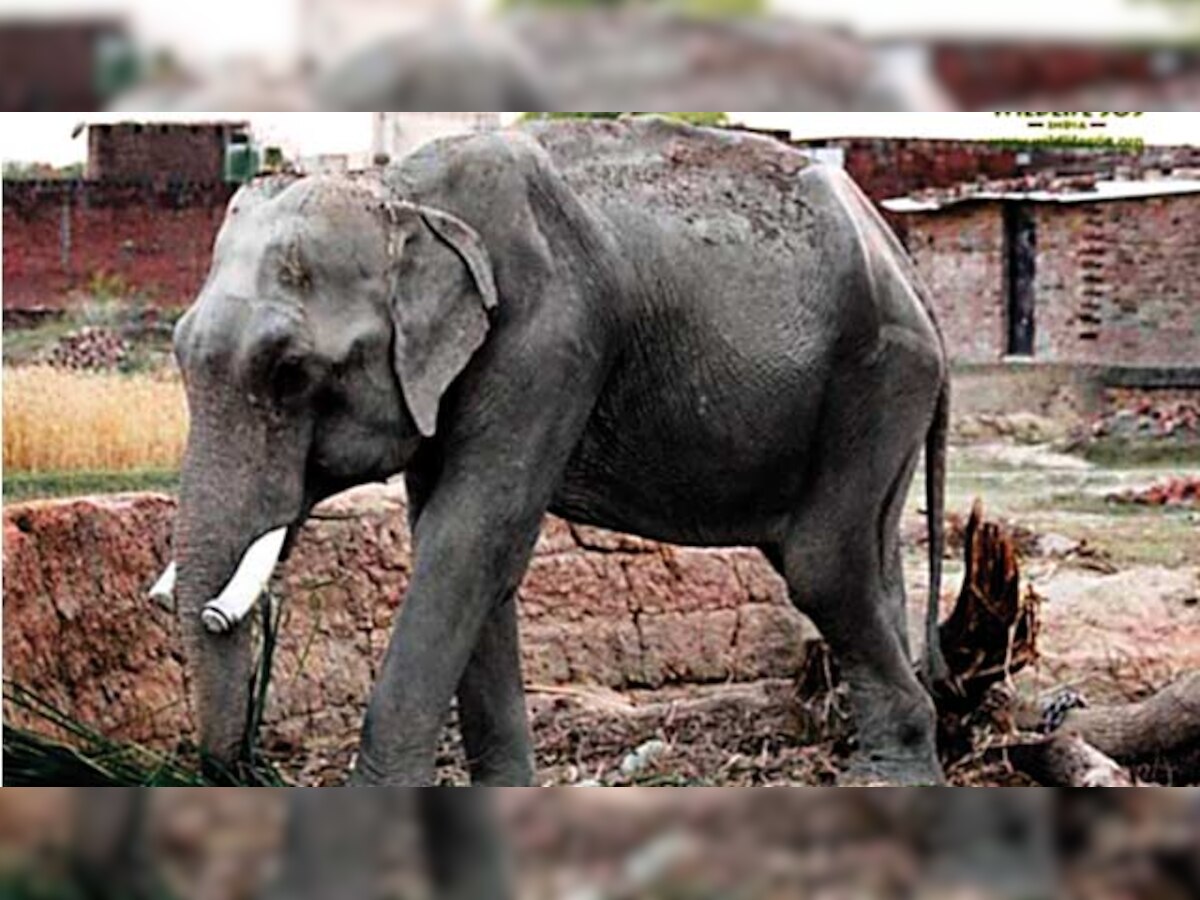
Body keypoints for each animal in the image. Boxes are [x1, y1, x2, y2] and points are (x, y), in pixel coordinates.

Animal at [158, 116, 949, 786]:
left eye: (289, 371)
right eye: (178, 351)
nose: (245, 767)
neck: (401, 194)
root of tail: (904, 261)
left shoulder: (551, 334)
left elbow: (469, 539)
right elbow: (467, 552)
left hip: (877, 375)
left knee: (822, 565)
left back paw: (892, 776)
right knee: (867, 557)